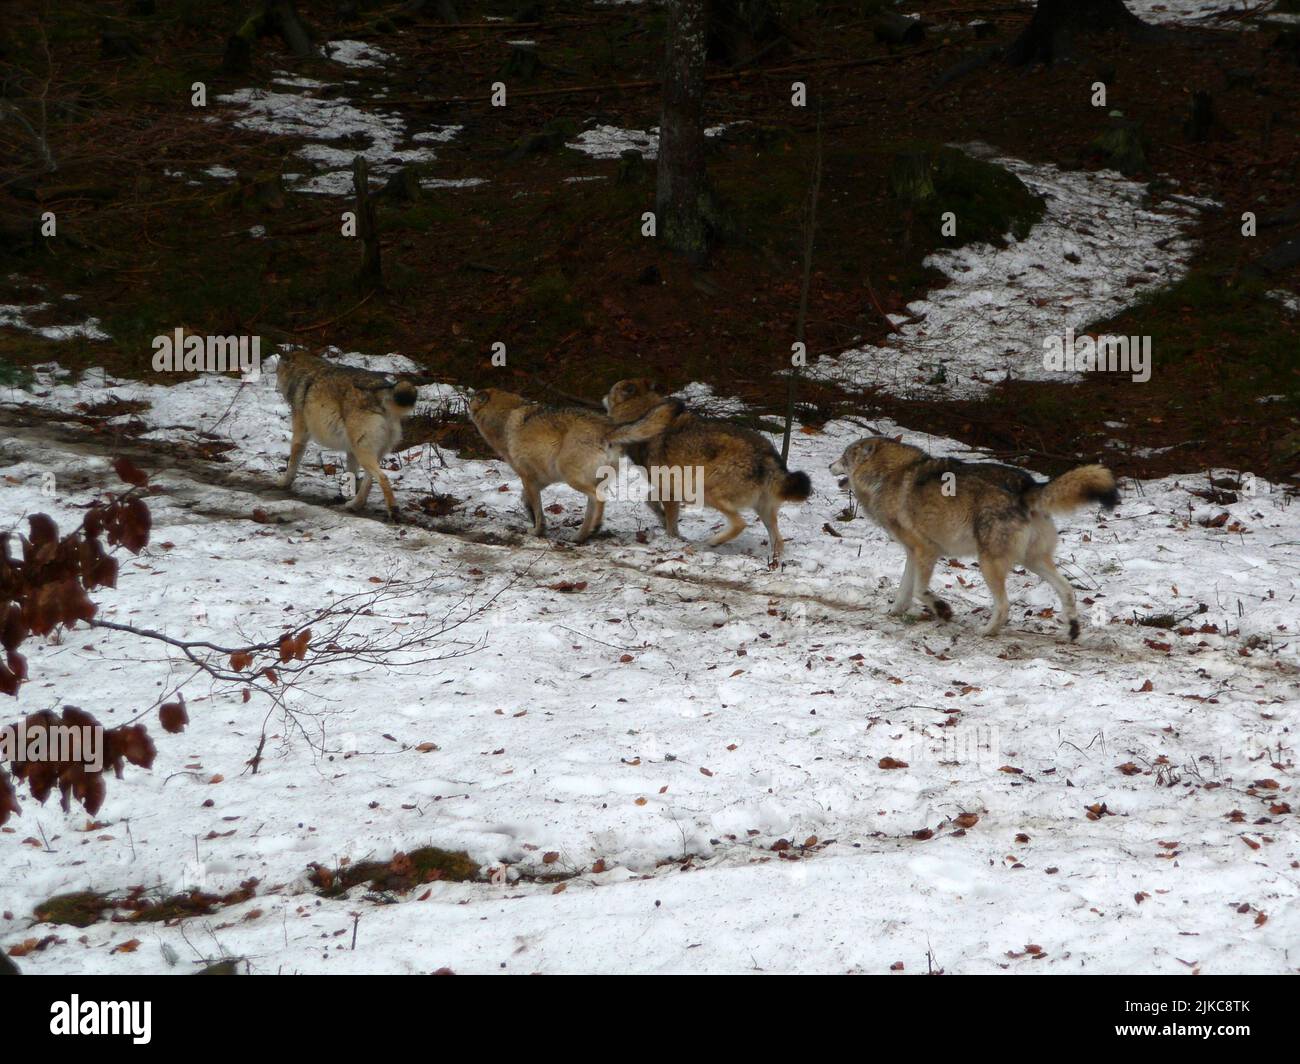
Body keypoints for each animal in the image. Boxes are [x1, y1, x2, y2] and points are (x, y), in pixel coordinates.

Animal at [275, 350, 420, 521]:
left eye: (277, 371)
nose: (275, 387)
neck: (306, 371)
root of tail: (380, 391)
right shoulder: (350, 452)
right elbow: (353, 476)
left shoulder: (300, 436)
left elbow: (292, 463)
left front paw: (284, 482)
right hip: (369, 453)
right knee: (369, 481)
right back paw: (355, 505)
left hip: (363, 453)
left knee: (383, 477)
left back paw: (393, 511)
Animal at [465, 387, 681, 543]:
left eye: (470, 401)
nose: (467, 398)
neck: (504, 418)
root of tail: (607, 428)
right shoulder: (540, 480)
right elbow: (528, 502)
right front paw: (536, 521)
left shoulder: (527, 477)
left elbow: (537, 508)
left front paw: (536, 530)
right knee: (594, 506)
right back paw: (585, 534)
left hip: (572, 478)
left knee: (599, 498)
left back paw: (588, 532)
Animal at [602, 378, 812, 564]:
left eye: (611, 391)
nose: (602, 396)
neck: (642, 411)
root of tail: (768, 456)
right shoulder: (669, 488)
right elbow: (650, 501)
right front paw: (663, 521)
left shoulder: (670, 491)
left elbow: (669, 520)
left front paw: (672, 539)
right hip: (763, 511)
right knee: (779, 542)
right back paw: (774, 561)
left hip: (707, 492)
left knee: (740, 524)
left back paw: (712, 542)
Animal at [829, 436, 1118, 638]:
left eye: (843, 457)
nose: (829, 465)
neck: (887, 476)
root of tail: (1027, 486)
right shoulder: (913, 553)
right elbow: (904, 590)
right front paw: (894, 612)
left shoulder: (926, 551)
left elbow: (921, 590)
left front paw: (942, 610)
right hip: (1032, 561)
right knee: (1068, 590)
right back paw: (1072, 629)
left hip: (988, 563)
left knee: (1004, 605)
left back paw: (987, 632)